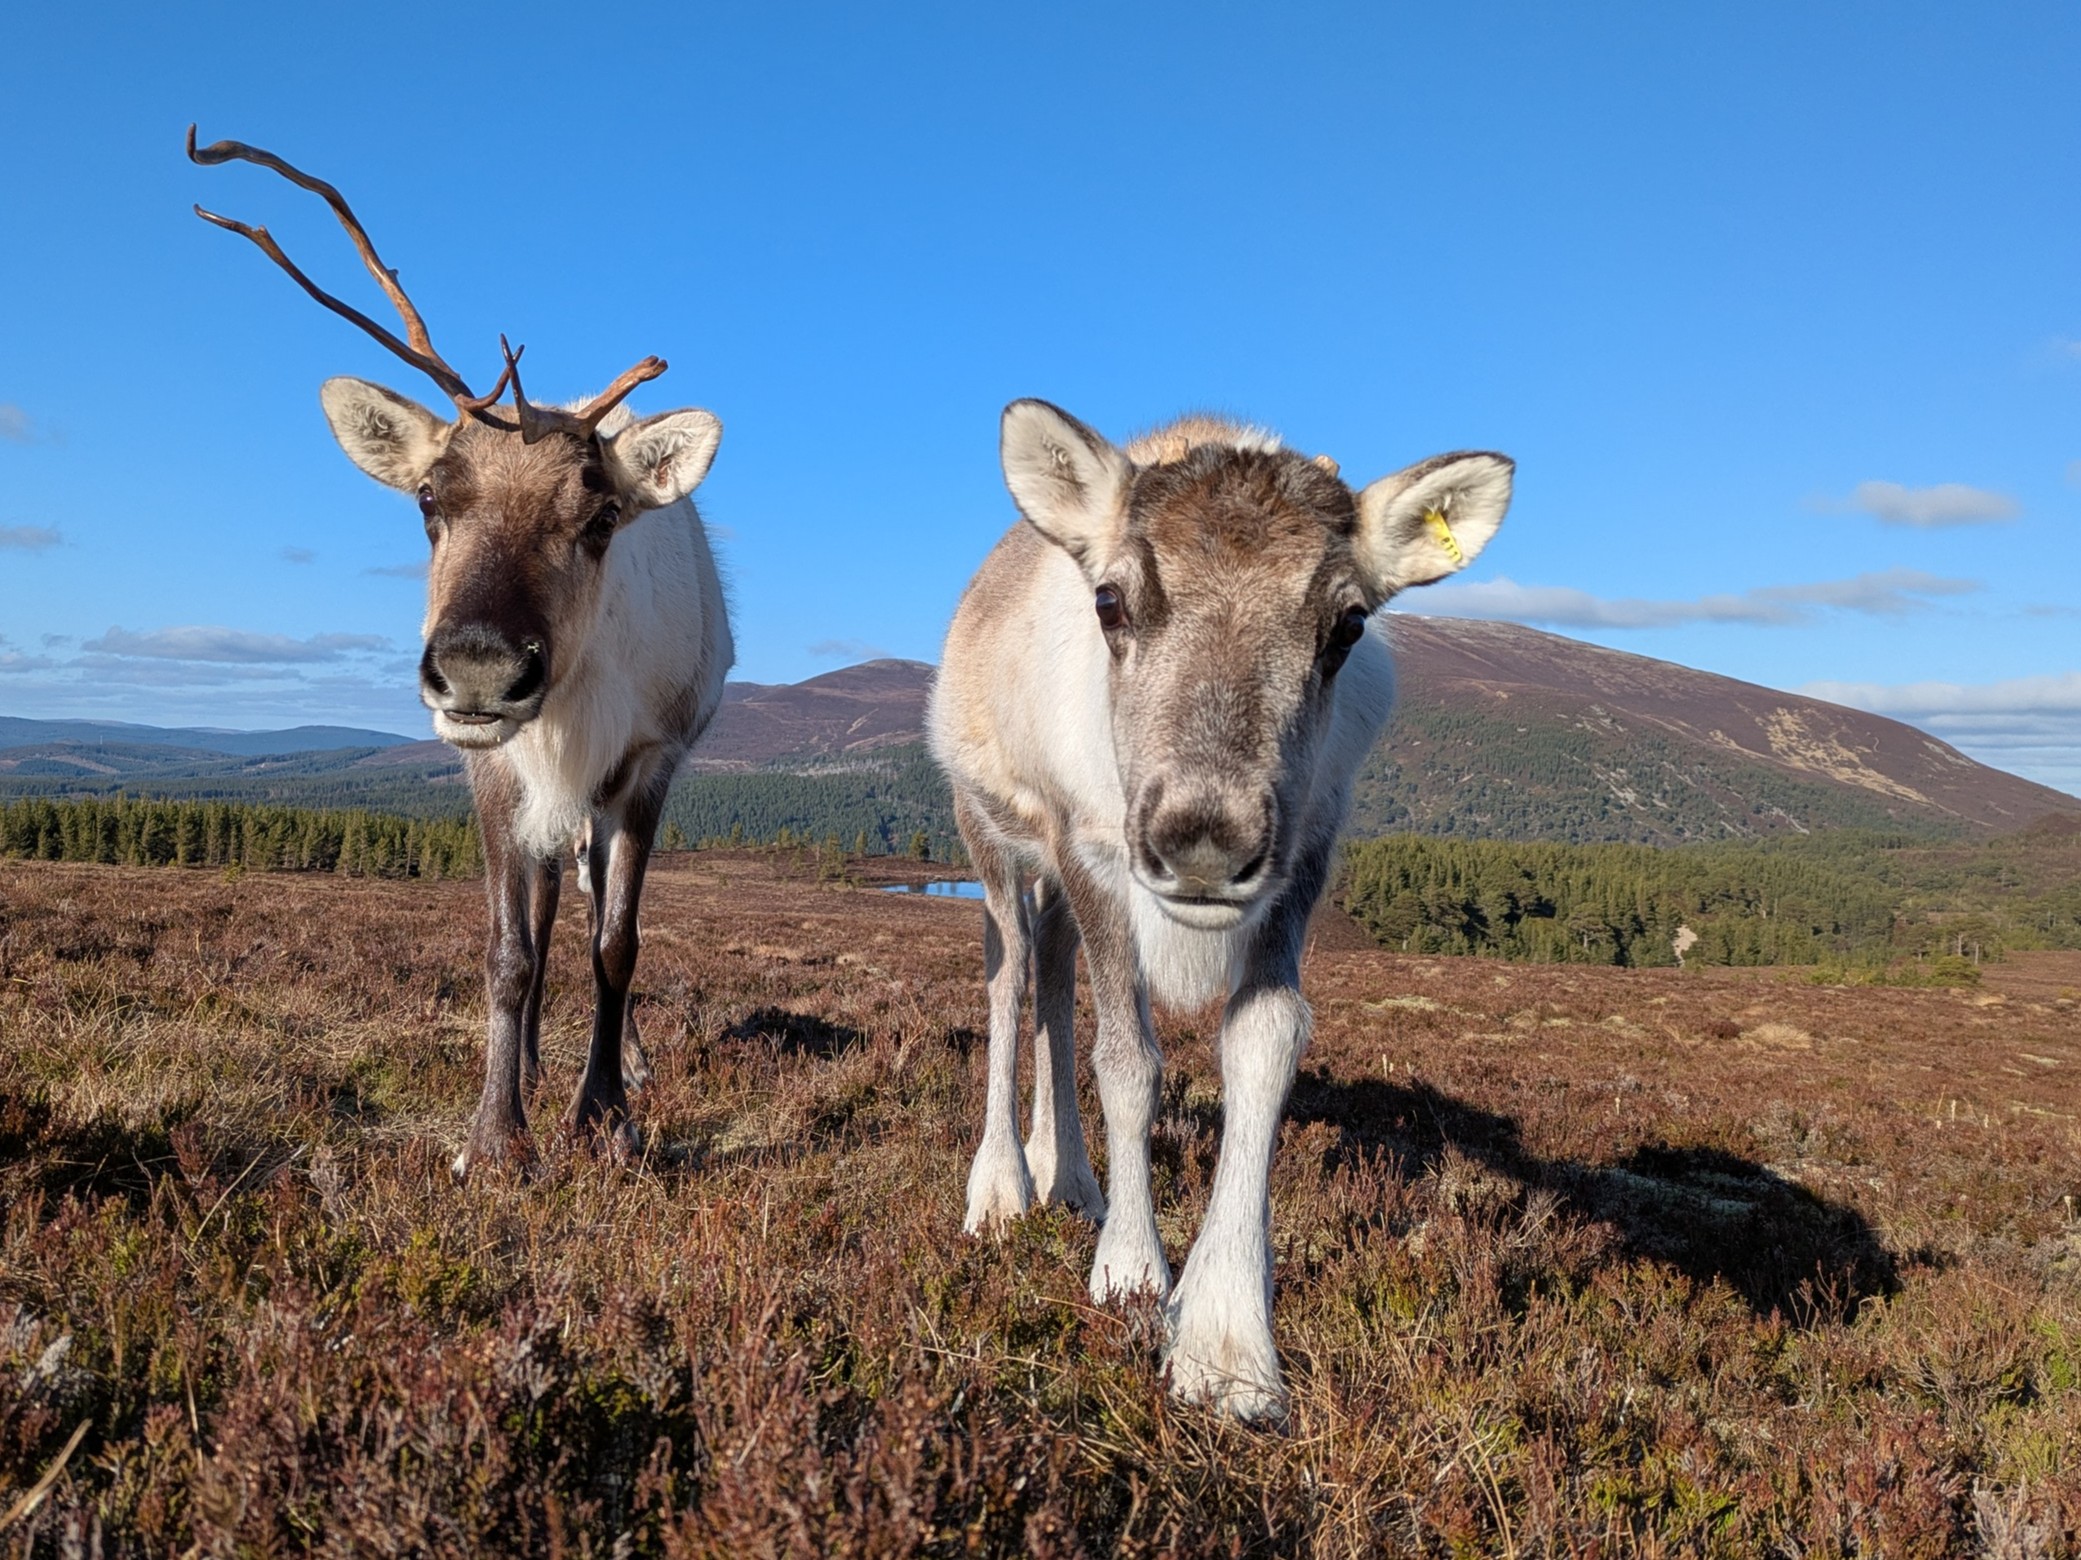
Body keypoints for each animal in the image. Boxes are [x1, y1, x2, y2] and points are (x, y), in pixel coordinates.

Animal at [188, 129, 732, 1177]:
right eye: (429, 497)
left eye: (602, 517)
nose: (480, 668)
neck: (571, 709)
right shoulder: (493, 774)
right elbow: (510, 950)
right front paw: (497, 1135)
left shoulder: (647, 762)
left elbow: (619, 945)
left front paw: (603, 1115)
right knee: (548, 911)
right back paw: (531, 1062)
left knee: (593, 913)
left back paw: (627, 1064)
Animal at [930, 402, 1512, 1418]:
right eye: (1110, 600)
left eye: (1347, 623)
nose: (1203, 840)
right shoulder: (1093, 850)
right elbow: (1127, 1064)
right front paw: (1129, 1274)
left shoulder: (1303, 858)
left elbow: (1262, 1044)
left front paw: (1226, 1343)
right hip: (993, 837)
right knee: (1010, 984)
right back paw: (1001, 1190)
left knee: (1052, 985)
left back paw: (1067, 1176)